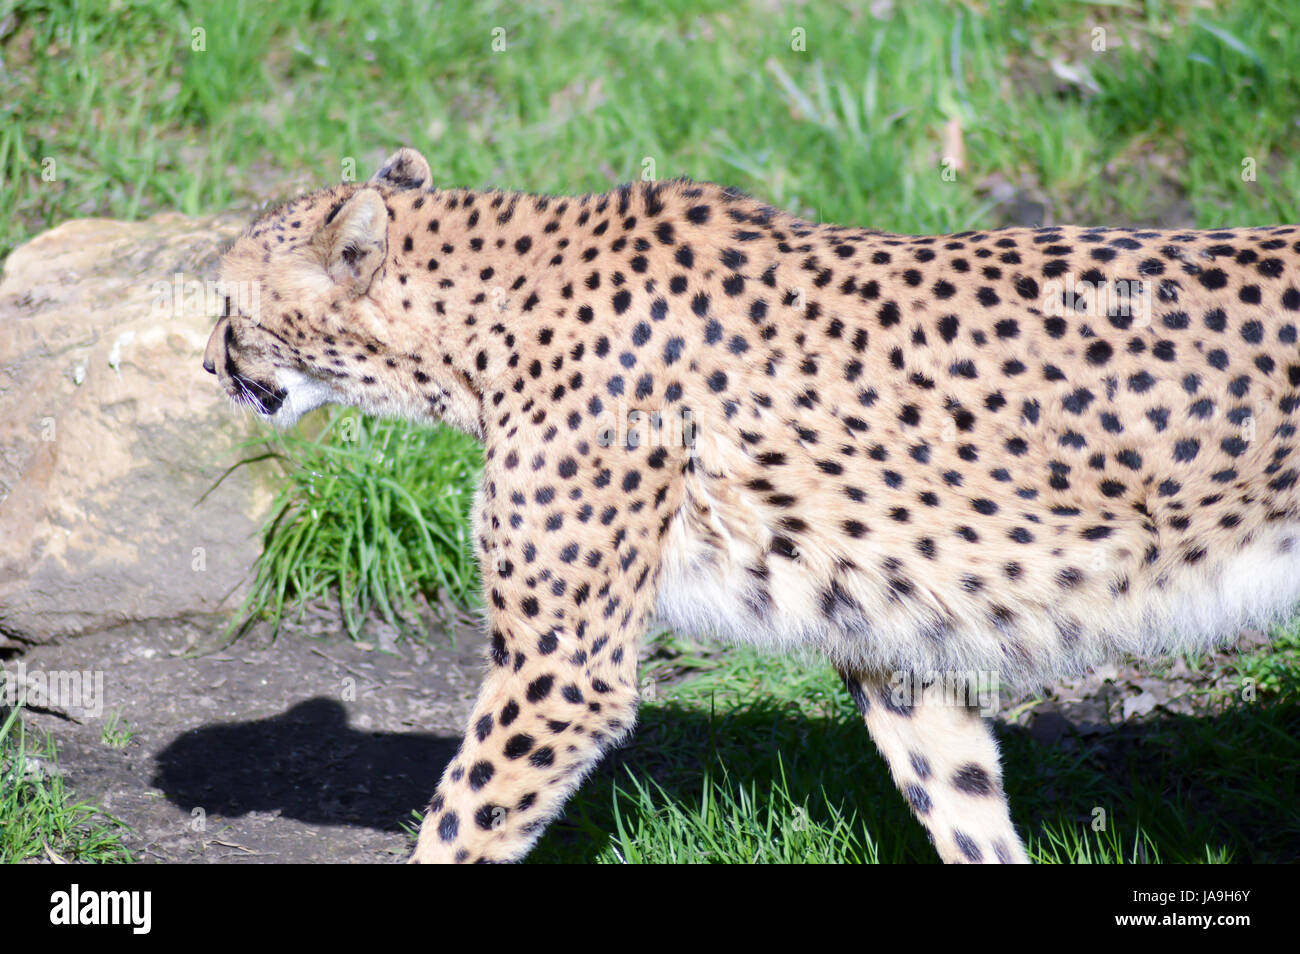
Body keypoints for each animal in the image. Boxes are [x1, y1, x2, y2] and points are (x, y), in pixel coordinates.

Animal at [204, 147, 1300, 863]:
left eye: (225, 302)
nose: (210, 363)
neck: (479, 329)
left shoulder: (563, 670)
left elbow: (460, 821)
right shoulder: (898, 644)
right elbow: (963, 805)